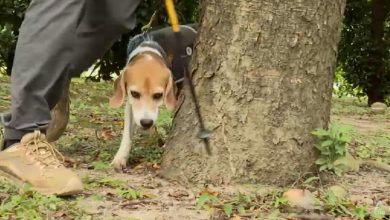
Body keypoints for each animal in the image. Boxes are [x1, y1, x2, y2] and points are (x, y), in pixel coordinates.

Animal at [109, 24, 197, 169]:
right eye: (134, 93)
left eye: (158, 95)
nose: (146, 123)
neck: (150, 49)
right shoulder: (131, 105)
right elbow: (127, 134)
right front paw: (120, 157)